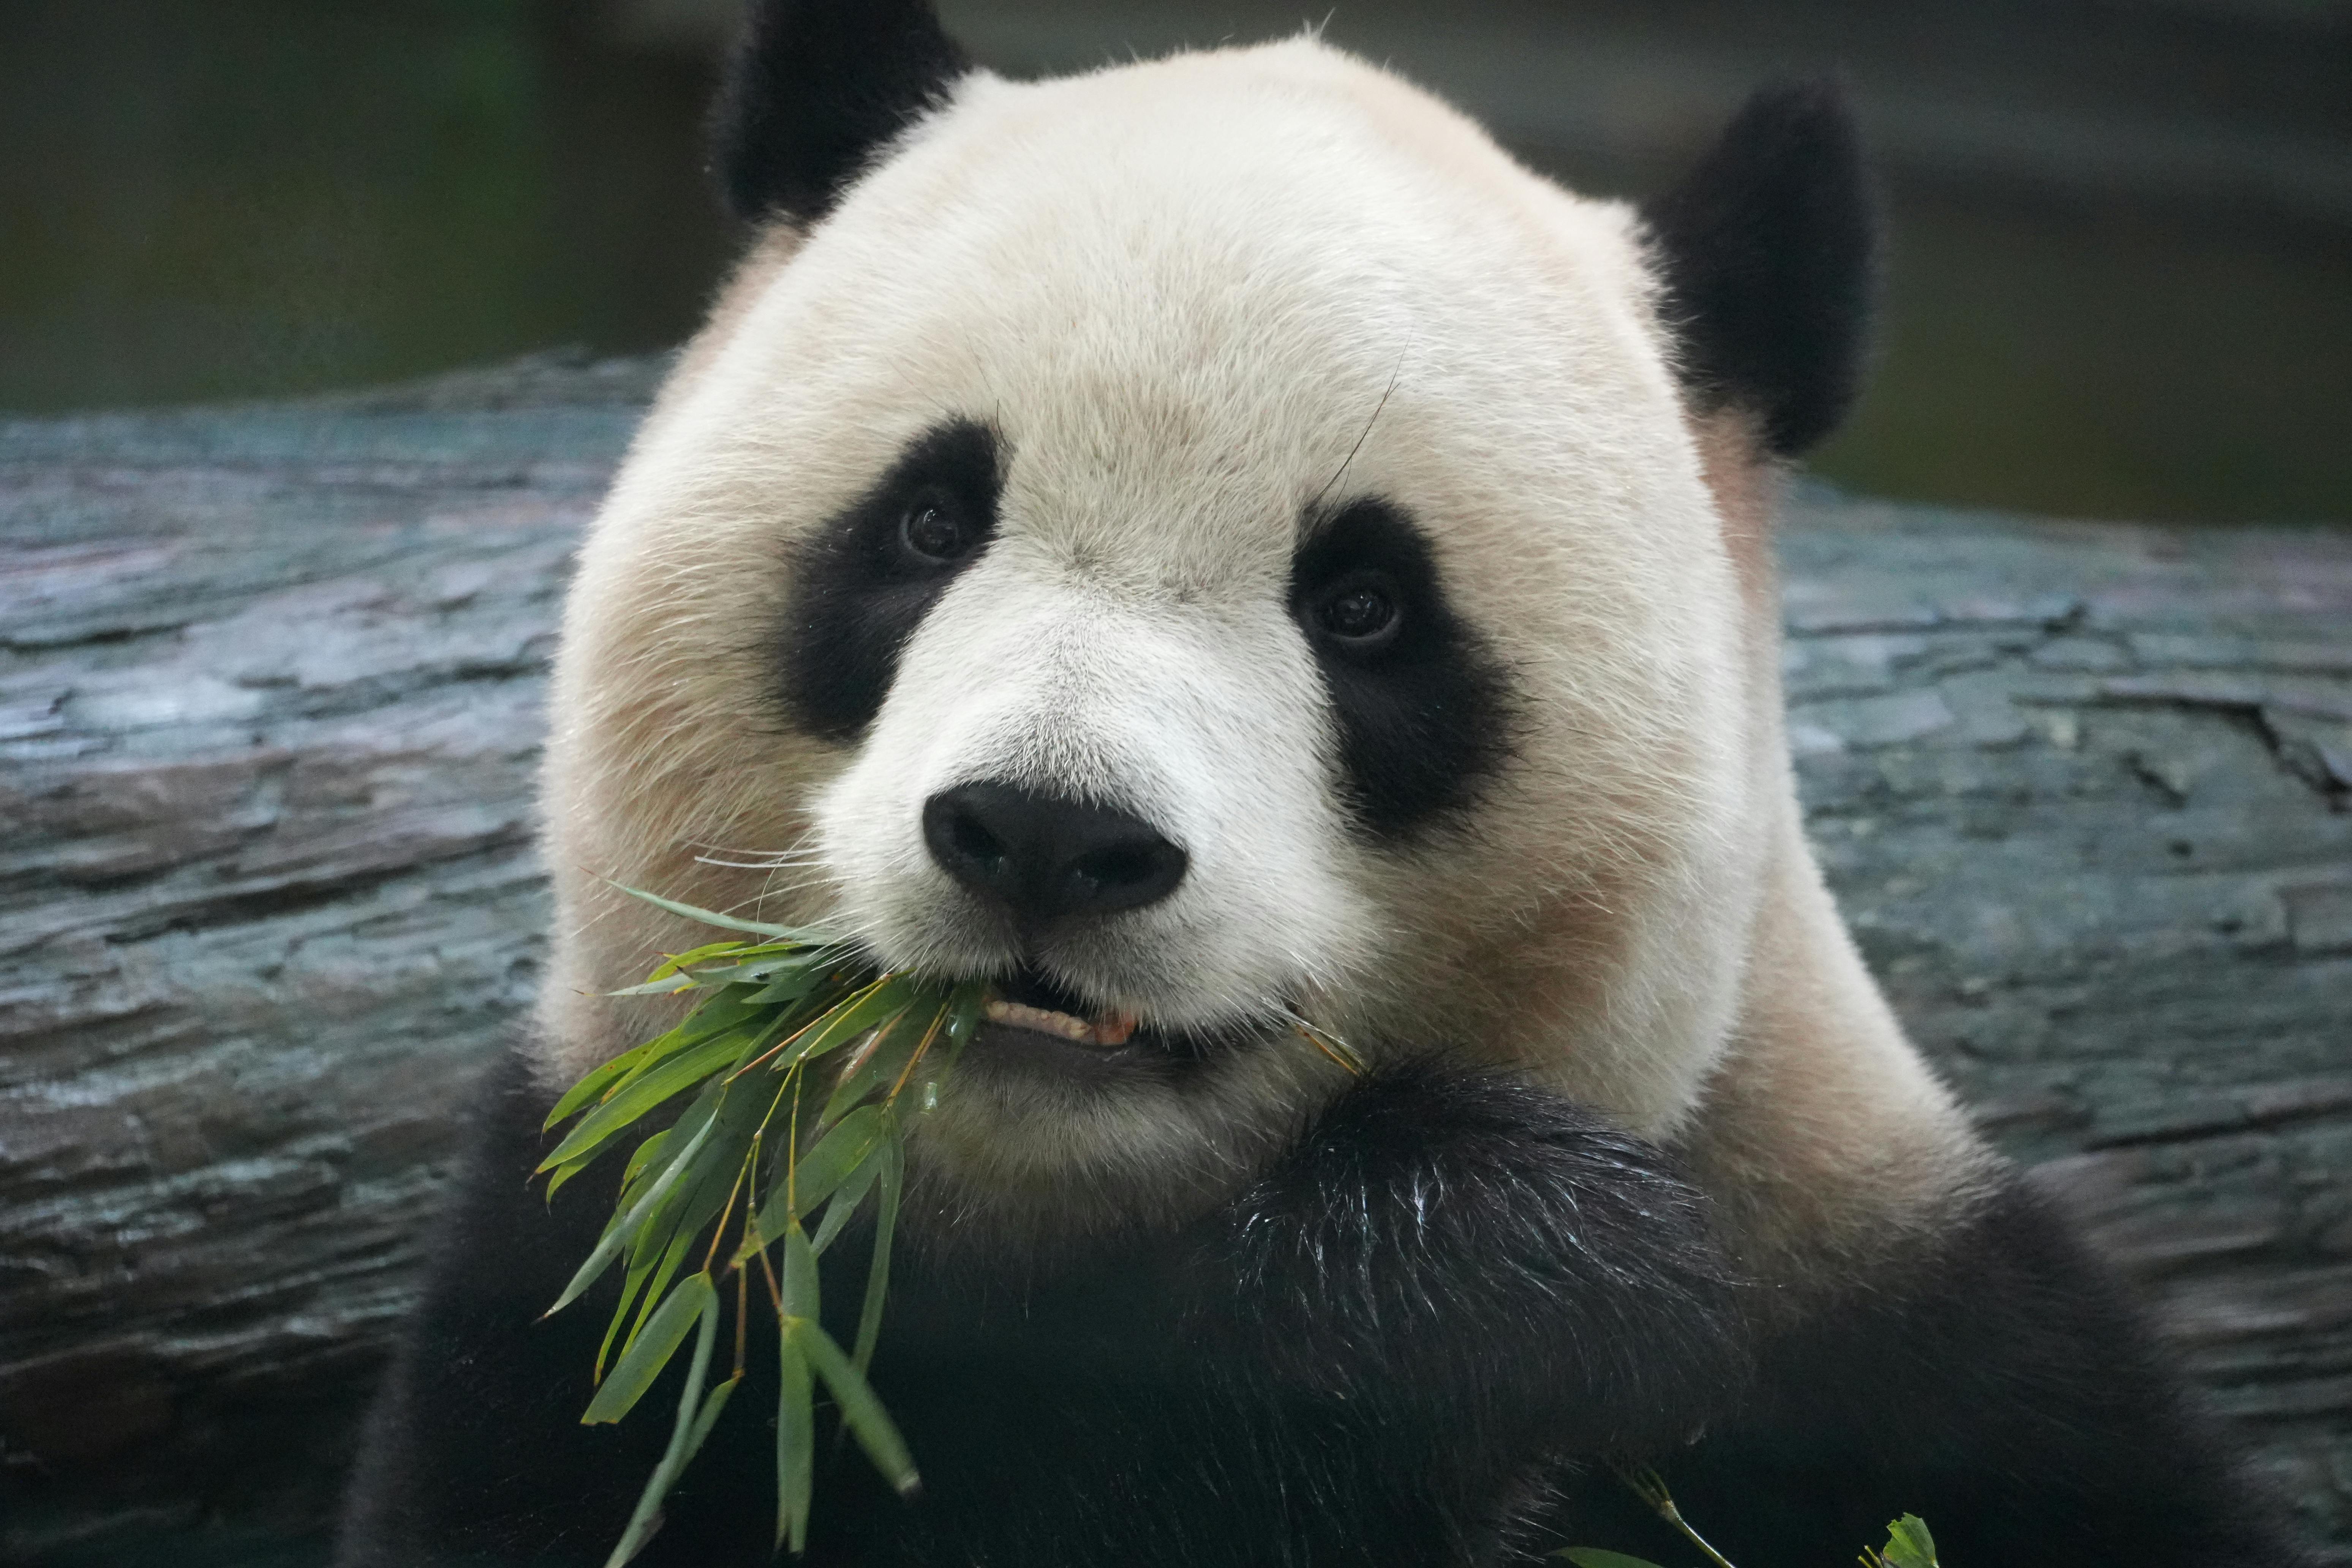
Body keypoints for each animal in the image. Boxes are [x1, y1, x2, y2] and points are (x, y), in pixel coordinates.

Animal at [335, 3, 2315, 1565]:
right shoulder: (624, 1280)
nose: (1047, 834)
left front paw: (1466, 1279)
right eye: (926, 522)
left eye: (1364, 606)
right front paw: (1483, 1292)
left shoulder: (1887, 1318)